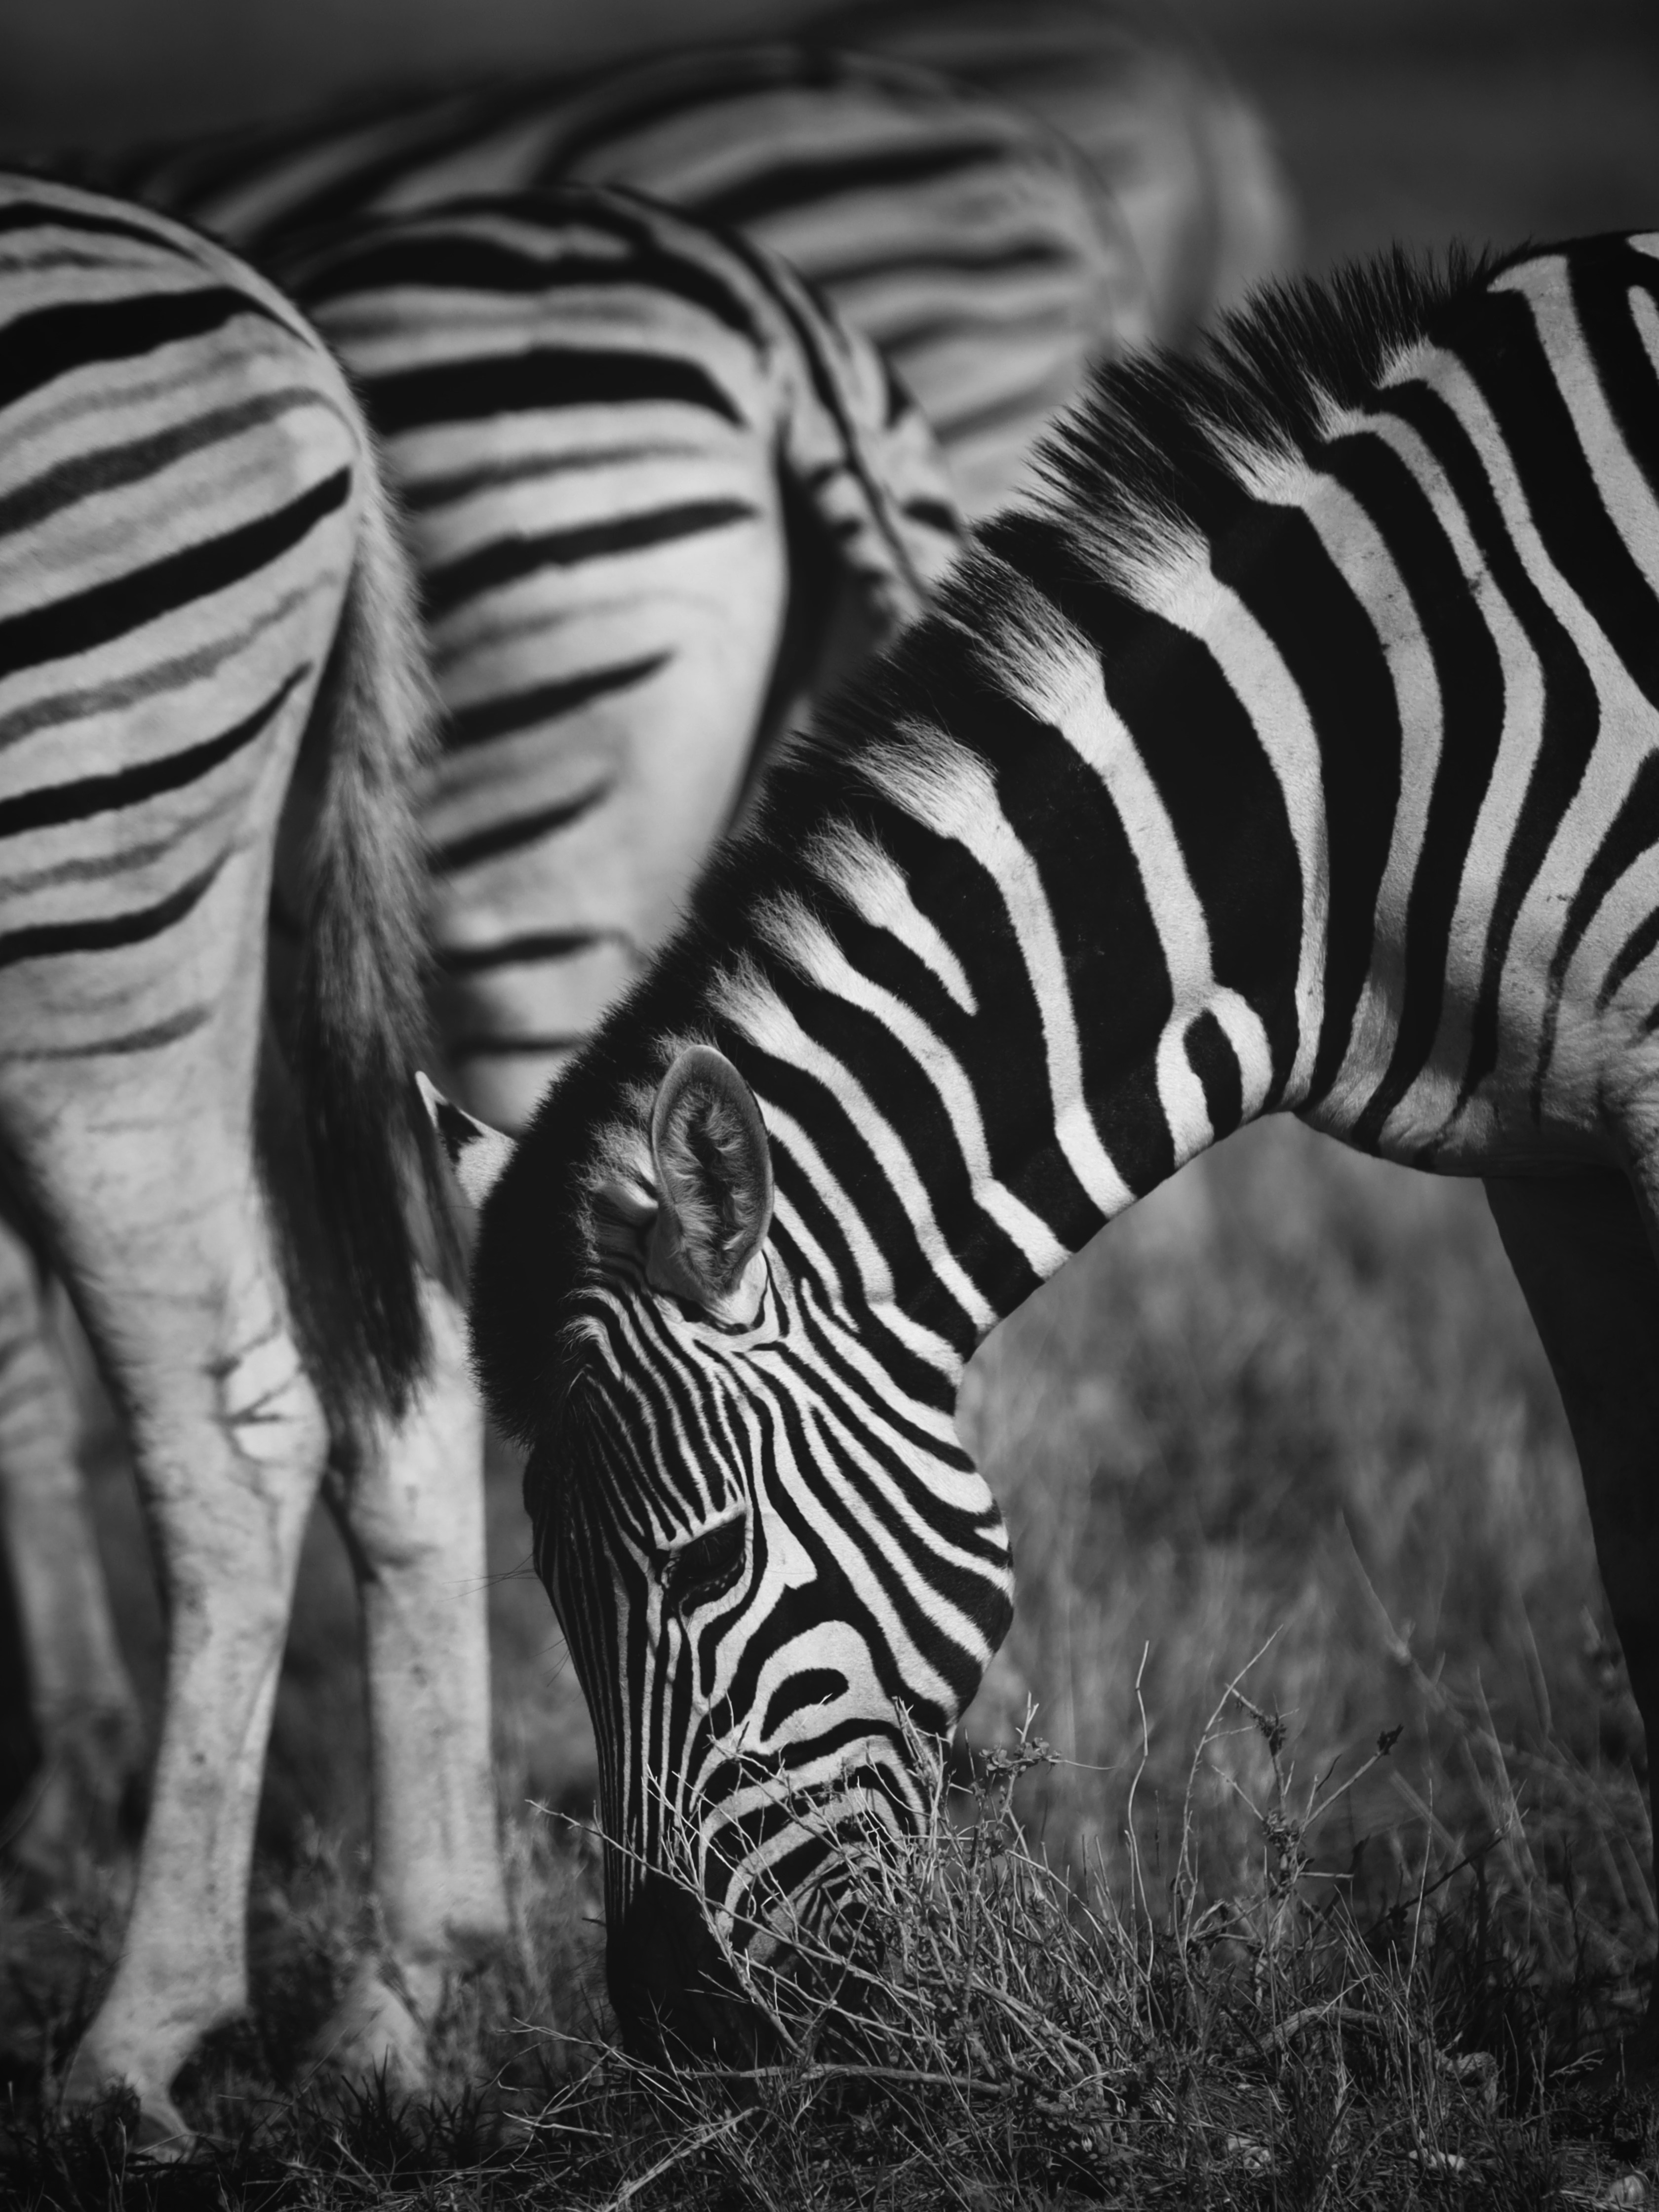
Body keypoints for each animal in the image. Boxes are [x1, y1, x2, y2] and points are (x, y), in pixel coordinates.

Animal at [0, 174, 505, 2141]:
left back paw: (137, 2039)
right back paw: (404, 2005)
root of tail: (273, 316)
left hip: (88, 926)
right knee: (413, 1365)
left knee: (235, 1436)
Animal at [436, 232, 1659, 2056]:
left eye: (708, 1558)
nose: (675, 2025)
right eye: (546, 1585)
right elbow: (1639, 1565)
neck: (1349, 774)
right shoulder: (1556, 1167)